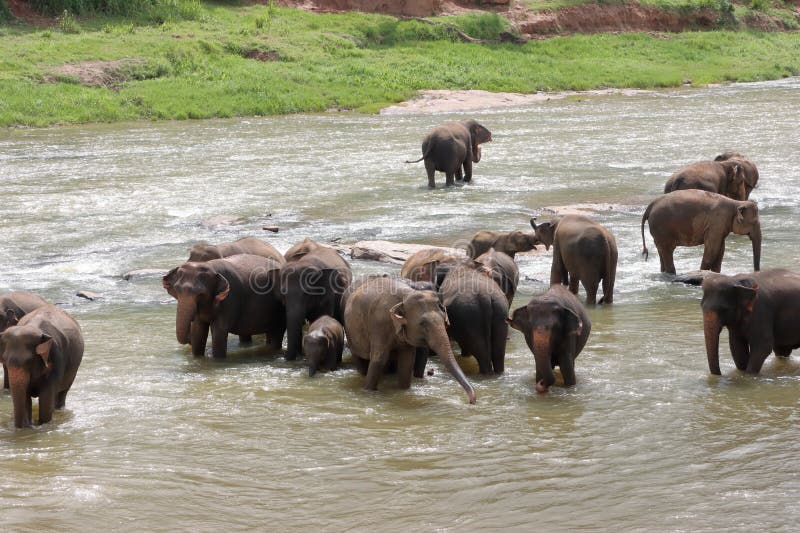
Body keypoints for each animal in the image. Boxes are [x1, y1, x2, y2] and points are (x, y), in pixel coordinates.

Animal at [344, 275, 476, 403]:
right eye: (423, 324)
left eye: (444, 321)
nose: (471, 401)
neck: (405, 296)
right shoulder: (379, 325)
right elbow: (379, 359)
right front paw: (368, 391)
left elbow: (407, 361)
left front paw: (404, 391)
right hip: (351, 334)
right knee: (360, 360)